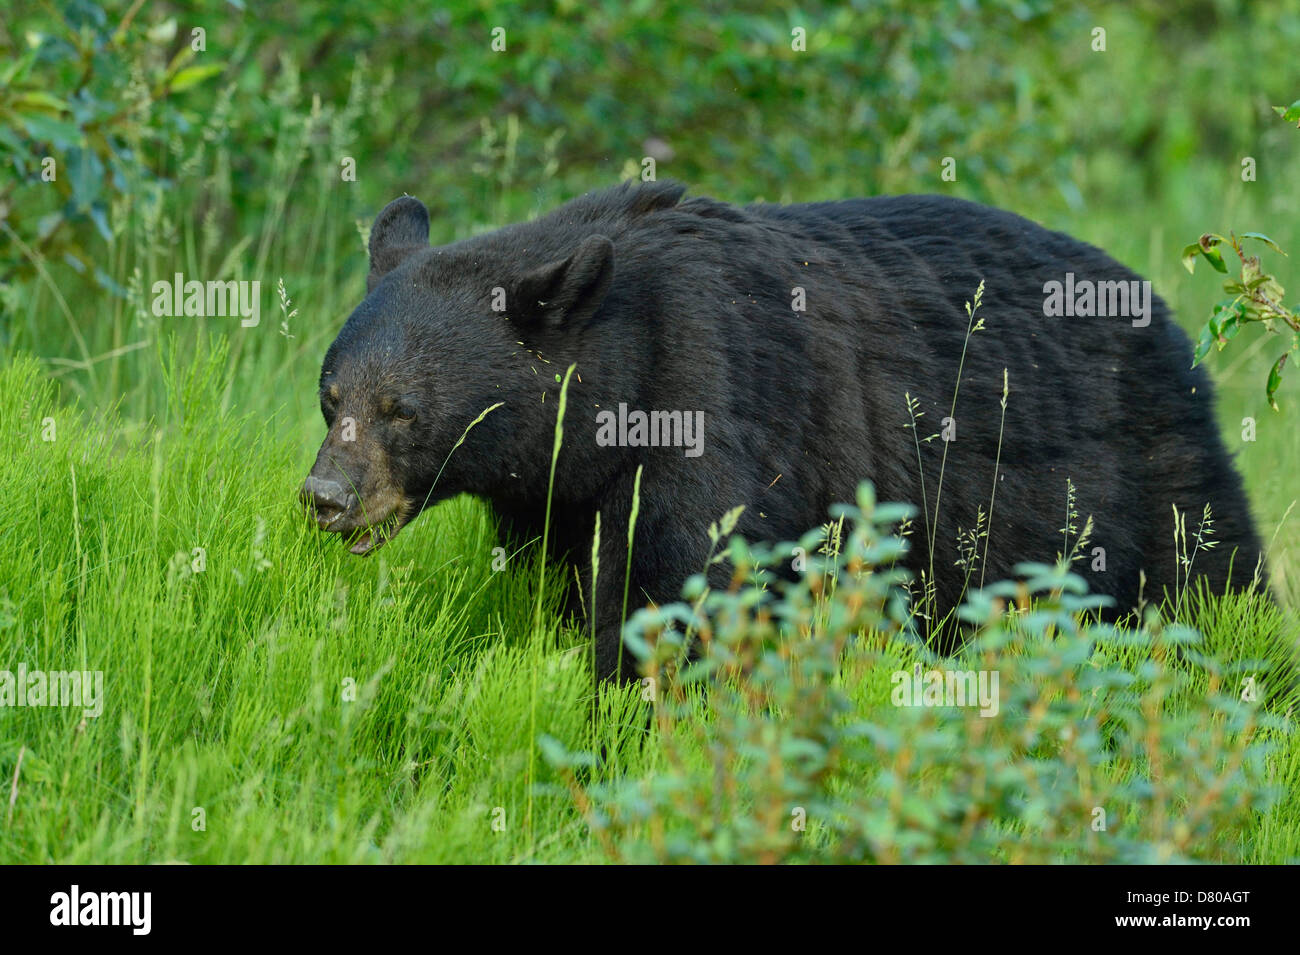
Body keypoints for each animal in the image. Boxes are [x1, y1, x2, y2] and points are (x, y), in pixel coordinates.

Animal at [302, 180, 1266, 681]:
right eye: (330, 395)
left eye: (402, 409)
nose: (325, 496)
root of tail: (1161, 313)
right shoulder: (562, 493)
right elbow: (562, 579)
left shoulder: (713, 407)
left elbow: (682, 593)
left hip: (1143, 471)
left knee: (1206, 575)